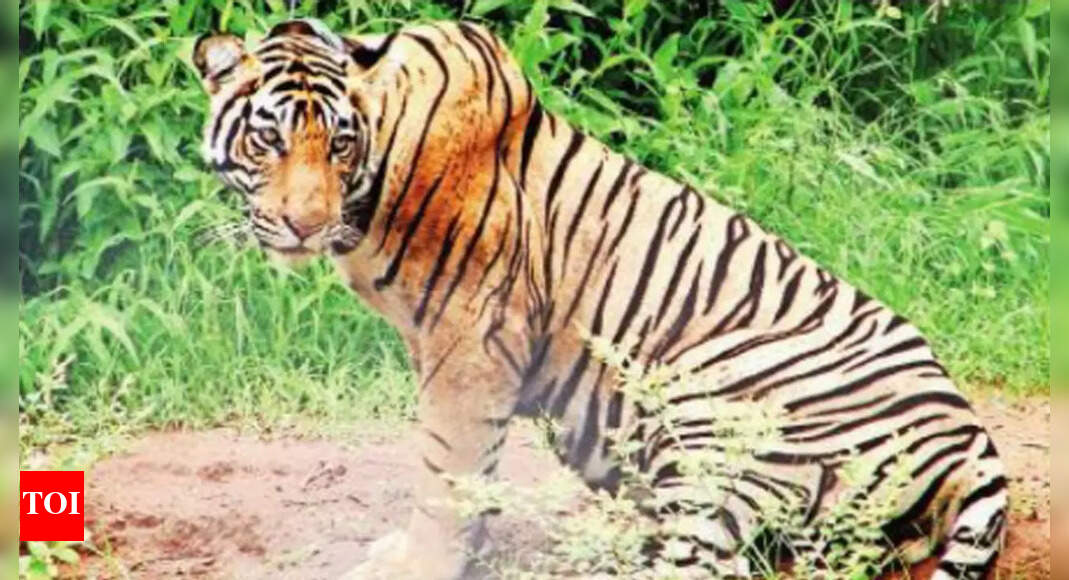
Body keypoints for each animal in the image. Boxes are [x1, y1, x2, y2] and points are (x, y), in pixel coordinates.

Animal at [193, 18, 1008, 579]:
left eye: (338, 144)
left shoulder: (470, 343)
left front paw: (421, 563)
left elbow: (448, 471)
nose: (305, 224)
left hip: (712, 410)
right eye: (268, 141)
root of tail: (972, 441)